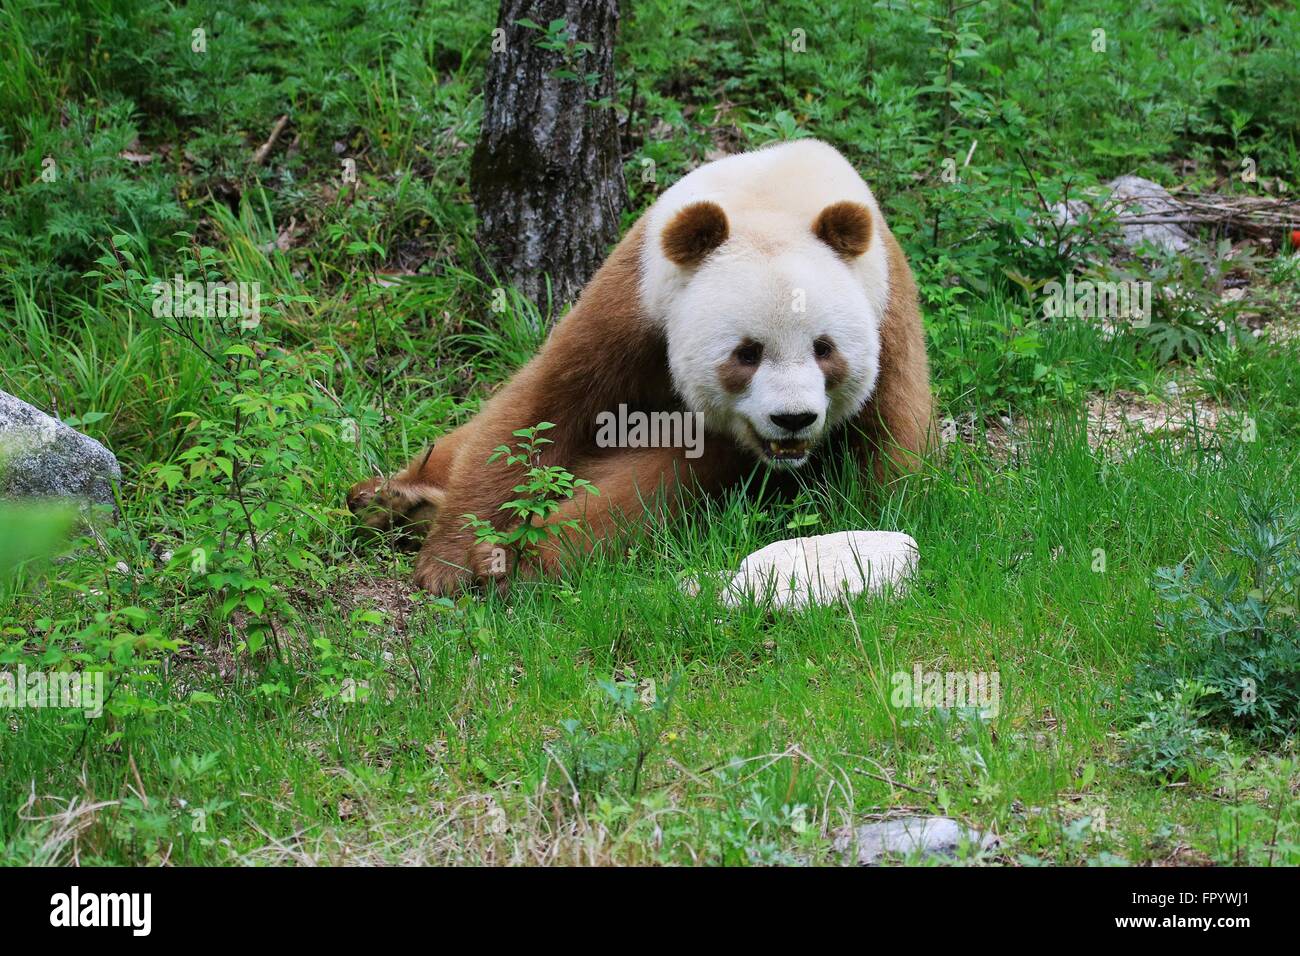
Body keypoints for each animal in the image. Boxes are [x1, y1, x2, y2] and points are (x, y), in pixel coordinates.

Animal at [348, 139, 934, 595]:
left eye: (824, 348)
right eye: (746, 352)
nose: (793, 420)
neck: (779, 199)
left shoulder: (886, 313)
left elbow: (893, 455)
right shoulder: (638, 299)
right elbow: (540, 411)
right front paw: (450, 561)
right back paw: (392, 500)